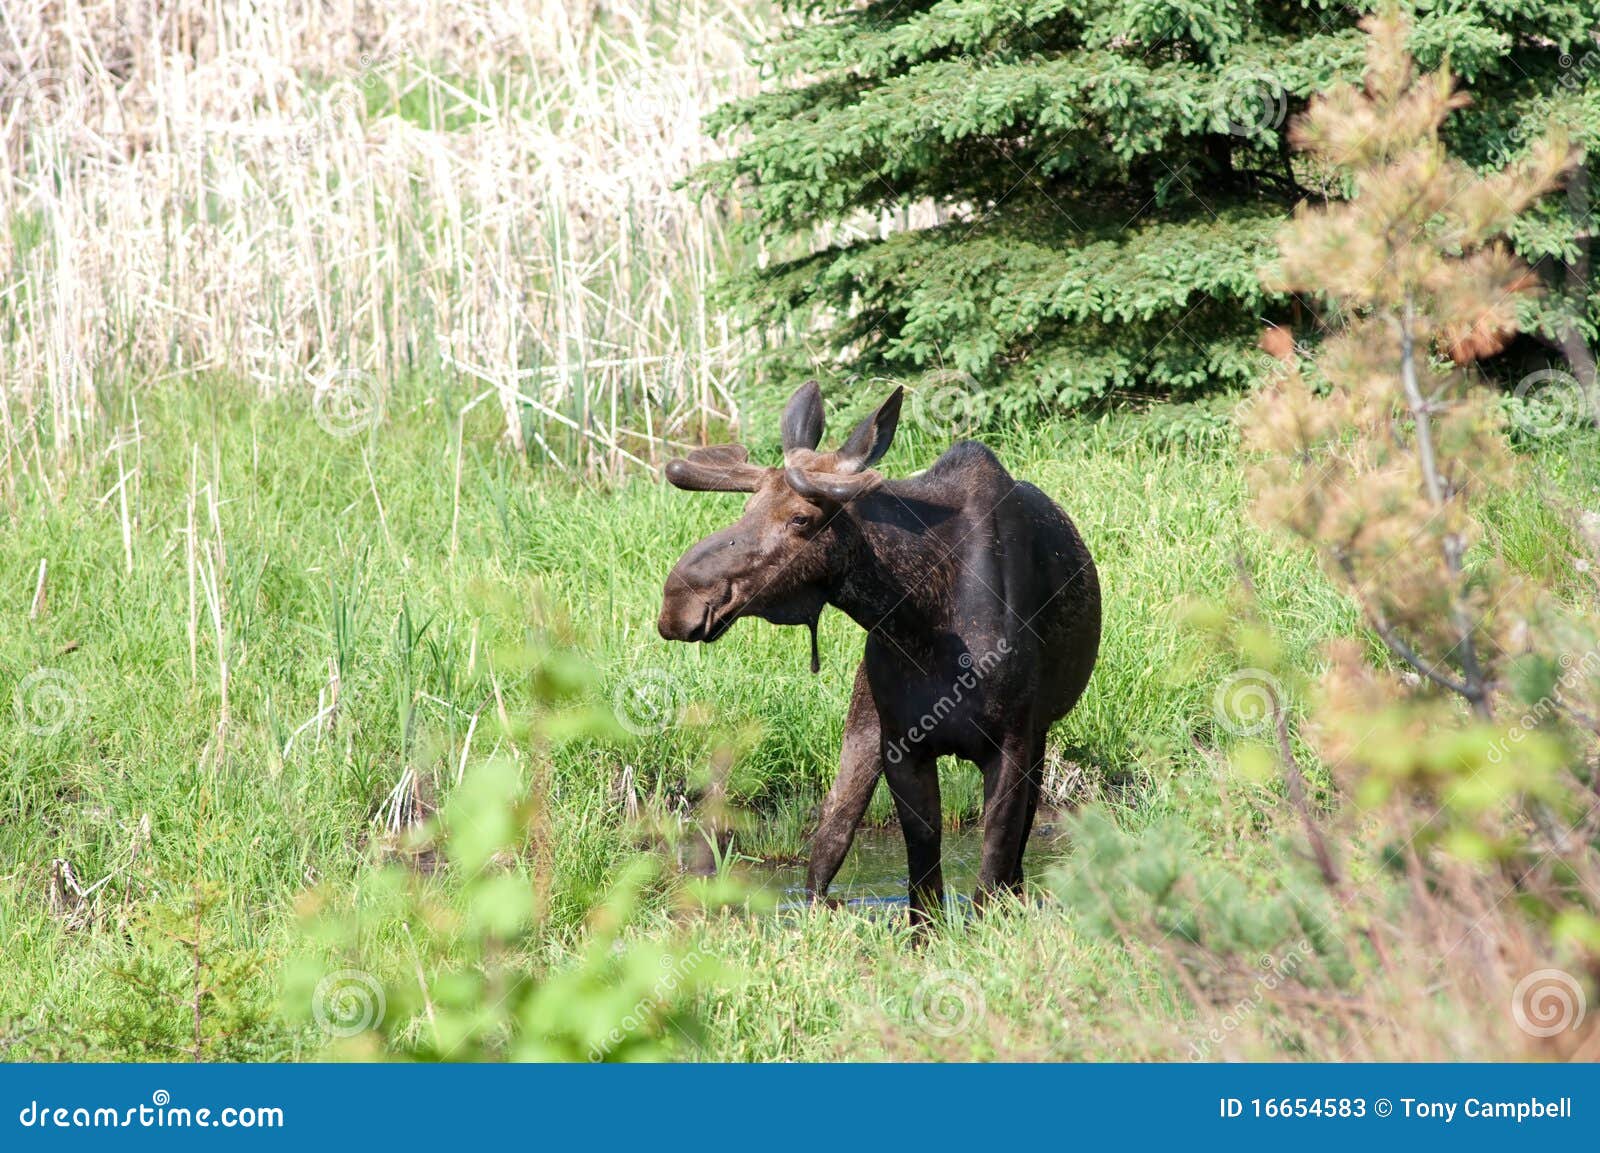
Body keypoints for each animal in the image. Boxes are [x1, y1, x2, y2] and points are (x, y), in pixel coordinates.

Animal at [656, 381, 1101, 923]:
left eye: (801, 518)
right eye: (747, 510)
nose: (678, 599)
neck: (922, 618)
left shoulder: (1013, 740)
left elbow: (991, 871)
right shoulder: (900, 746)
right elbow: (923, 883)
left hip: (1036, 732)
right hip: (863, 721)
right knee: (825, 851)